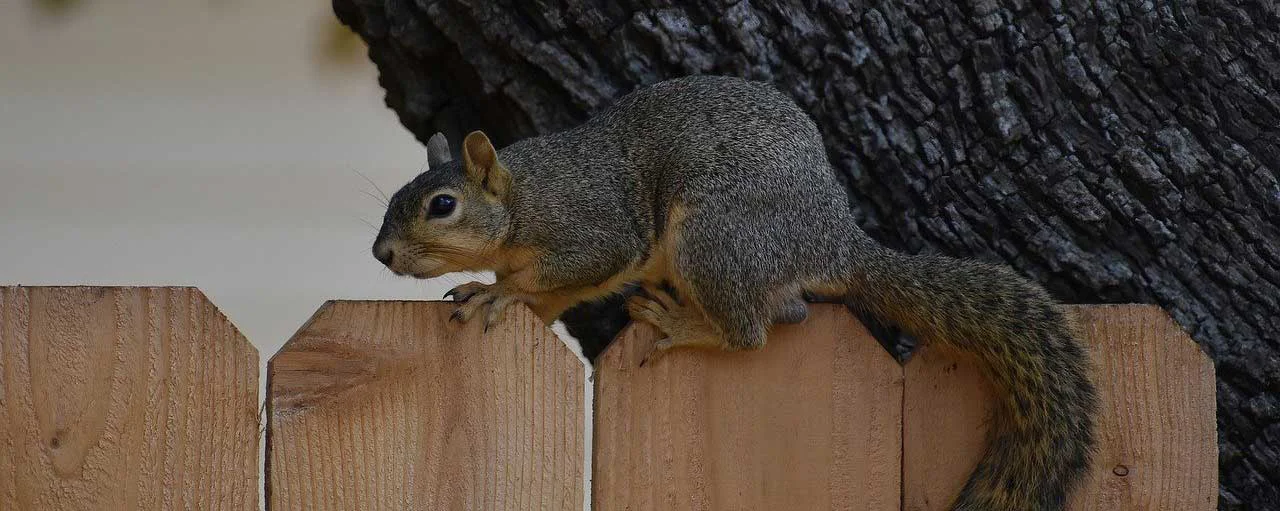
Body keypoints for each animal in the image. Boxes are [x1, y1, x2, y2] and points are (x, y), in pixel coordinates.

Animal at [372, 75, 1098, 510]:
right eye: (394, 198)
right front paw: (493, 287)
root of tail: (831, 240)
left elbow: (556, 277)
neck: (522, 197)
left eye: (442, 205)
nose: (382, 253)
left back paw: (683, 323)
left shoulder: (595, 232)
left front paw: (503, 294)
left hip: (713, 237)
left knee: (751, 333)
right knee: (791, 310)